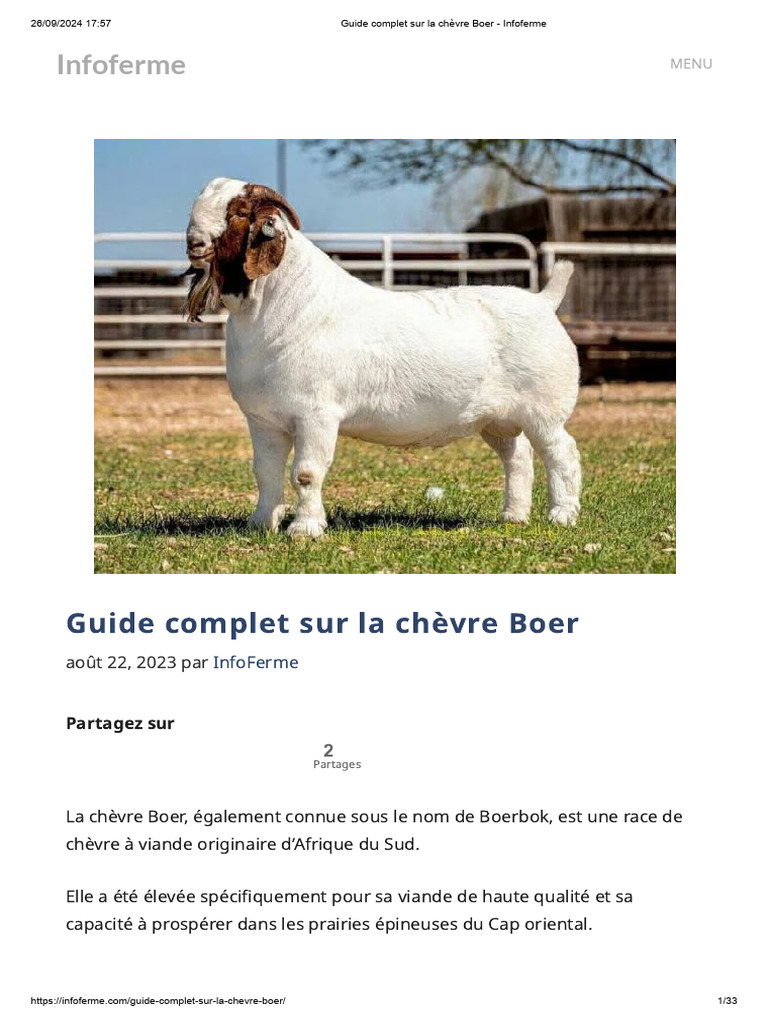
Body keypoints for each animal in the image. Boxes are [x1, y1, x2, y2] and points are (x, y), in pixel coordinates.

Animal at [184, 178, 581, 538]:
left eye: (237, 212)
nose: (193, 242)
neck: (286, 303)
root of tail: (543, 300)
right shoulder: (263, 419)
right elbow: (265, 472)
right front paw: (260, 524)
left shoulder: (316, 414)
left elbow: (307, 472)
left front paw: (305, 529)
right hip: (495, 419)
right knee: (518, 457)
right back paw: (513, 516)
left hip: (543, 409)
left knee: (562, 452)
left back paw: (562, 515)